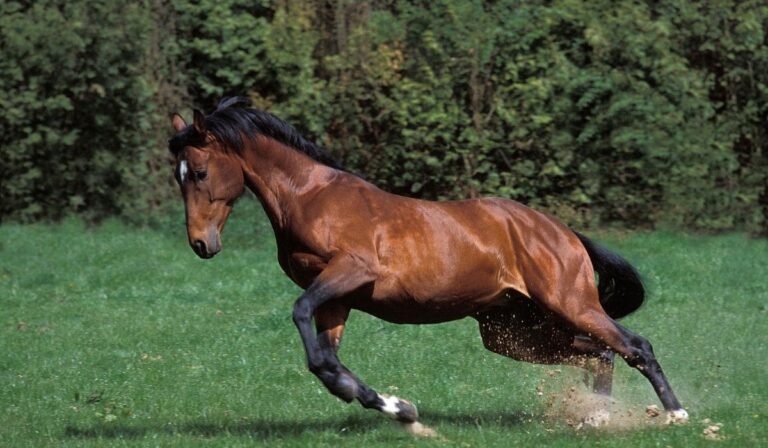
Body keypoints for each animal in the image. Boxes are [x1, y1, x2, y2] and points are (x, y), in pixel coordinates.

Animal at [168, 97, 688, 432]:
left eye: (199, 172)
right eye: (178, 176)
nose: (201, 244)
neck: (312, 198)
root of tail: (563, 233)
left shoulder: (350, 272)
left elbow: (302, 319)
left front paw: (392, 406)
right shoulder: (337, 299)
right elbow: (326, 360)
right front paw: (396, 407)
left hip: (569, 304)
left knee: (634, 345)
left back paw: (674, 413)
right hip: (512, 329)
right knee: (599, 352)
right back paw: (597, 414)